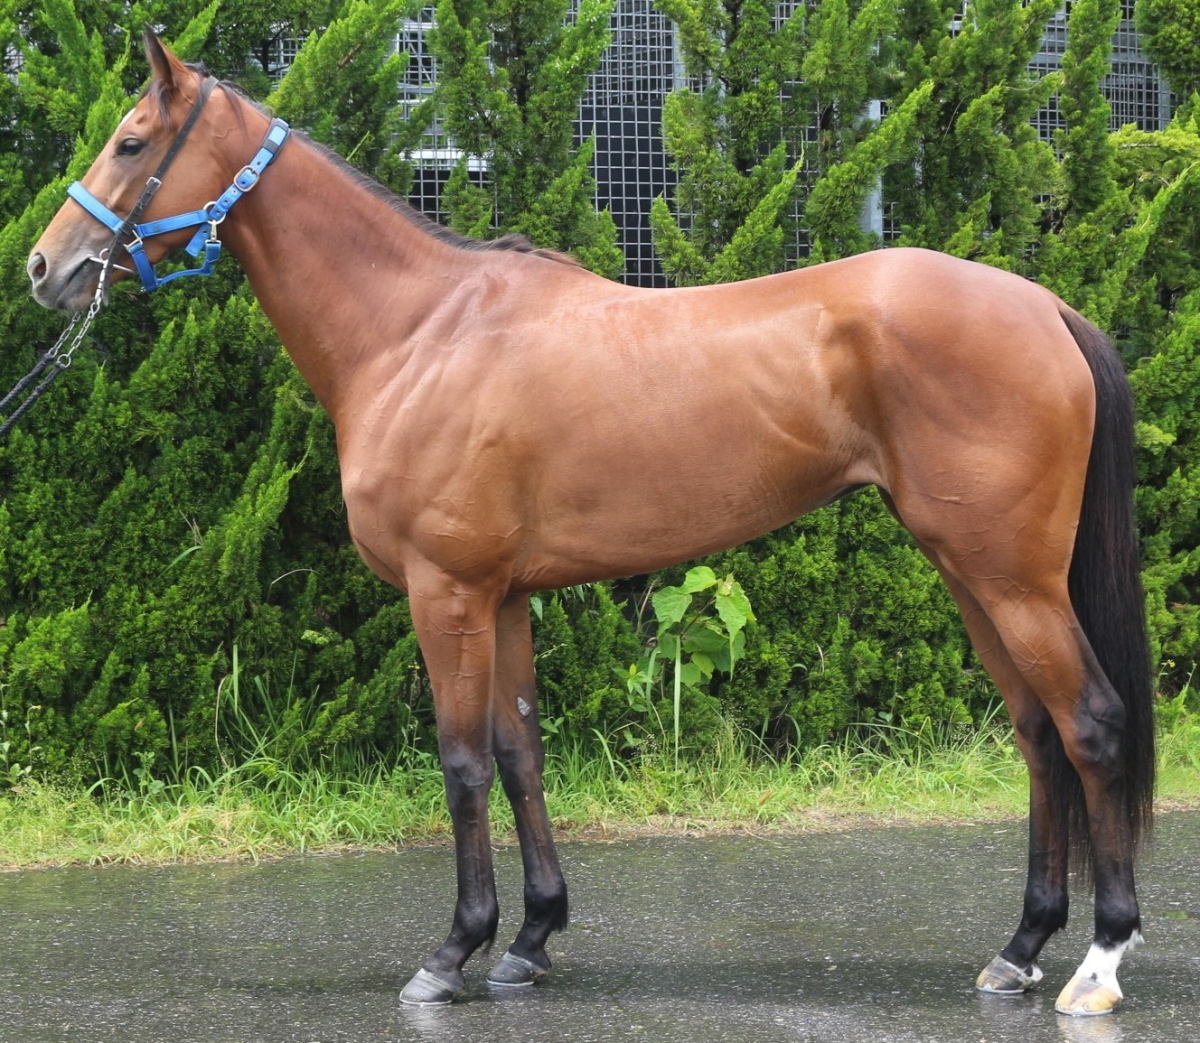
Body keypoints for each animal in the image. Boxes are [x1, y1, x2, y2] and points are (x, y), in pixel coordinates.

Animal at [27, 32, 1153, 1017]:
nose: (44, 267)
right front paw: (530, 939)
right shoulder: (503, 596)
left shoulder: (446, 591)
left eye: (131, 142)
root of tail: (1046, 308)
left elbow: (461, 760)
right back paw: (1018, 948)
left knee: (1091, 725)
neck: (420, 331)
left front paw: (452, 951)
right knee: (1038, 733)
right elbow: (521, 752)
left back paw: (1098, 963)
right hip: (971, 573)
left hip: (1010, 577)